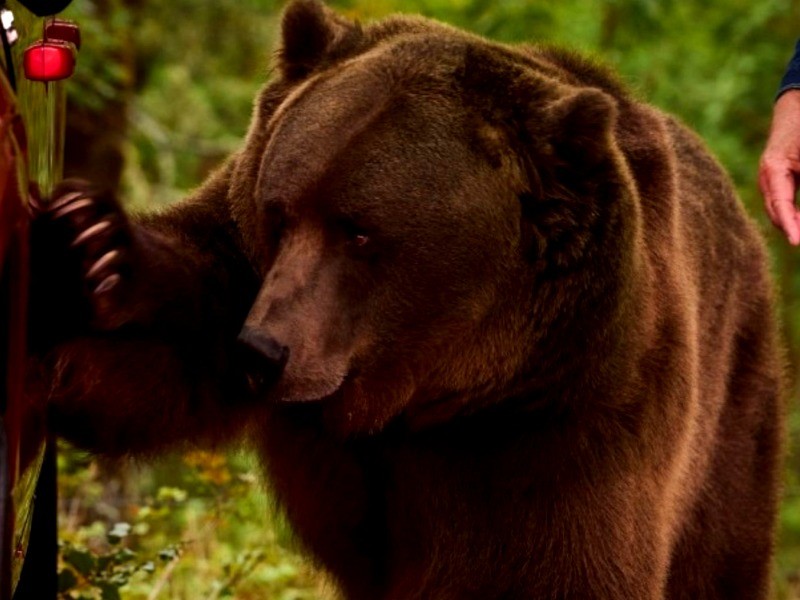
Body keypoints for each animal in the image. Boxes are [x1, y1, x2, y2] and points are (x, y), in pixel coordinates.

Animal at [26, 0, 784, 598]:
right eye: (280, 212)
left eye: (360, 231)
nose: (262, 352)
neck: (431, 392)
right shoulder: (252, 278)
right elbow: (161, 350)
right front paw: (92, 249)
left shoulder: (568, 419)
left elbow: (554, 567)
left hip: (732, 415)